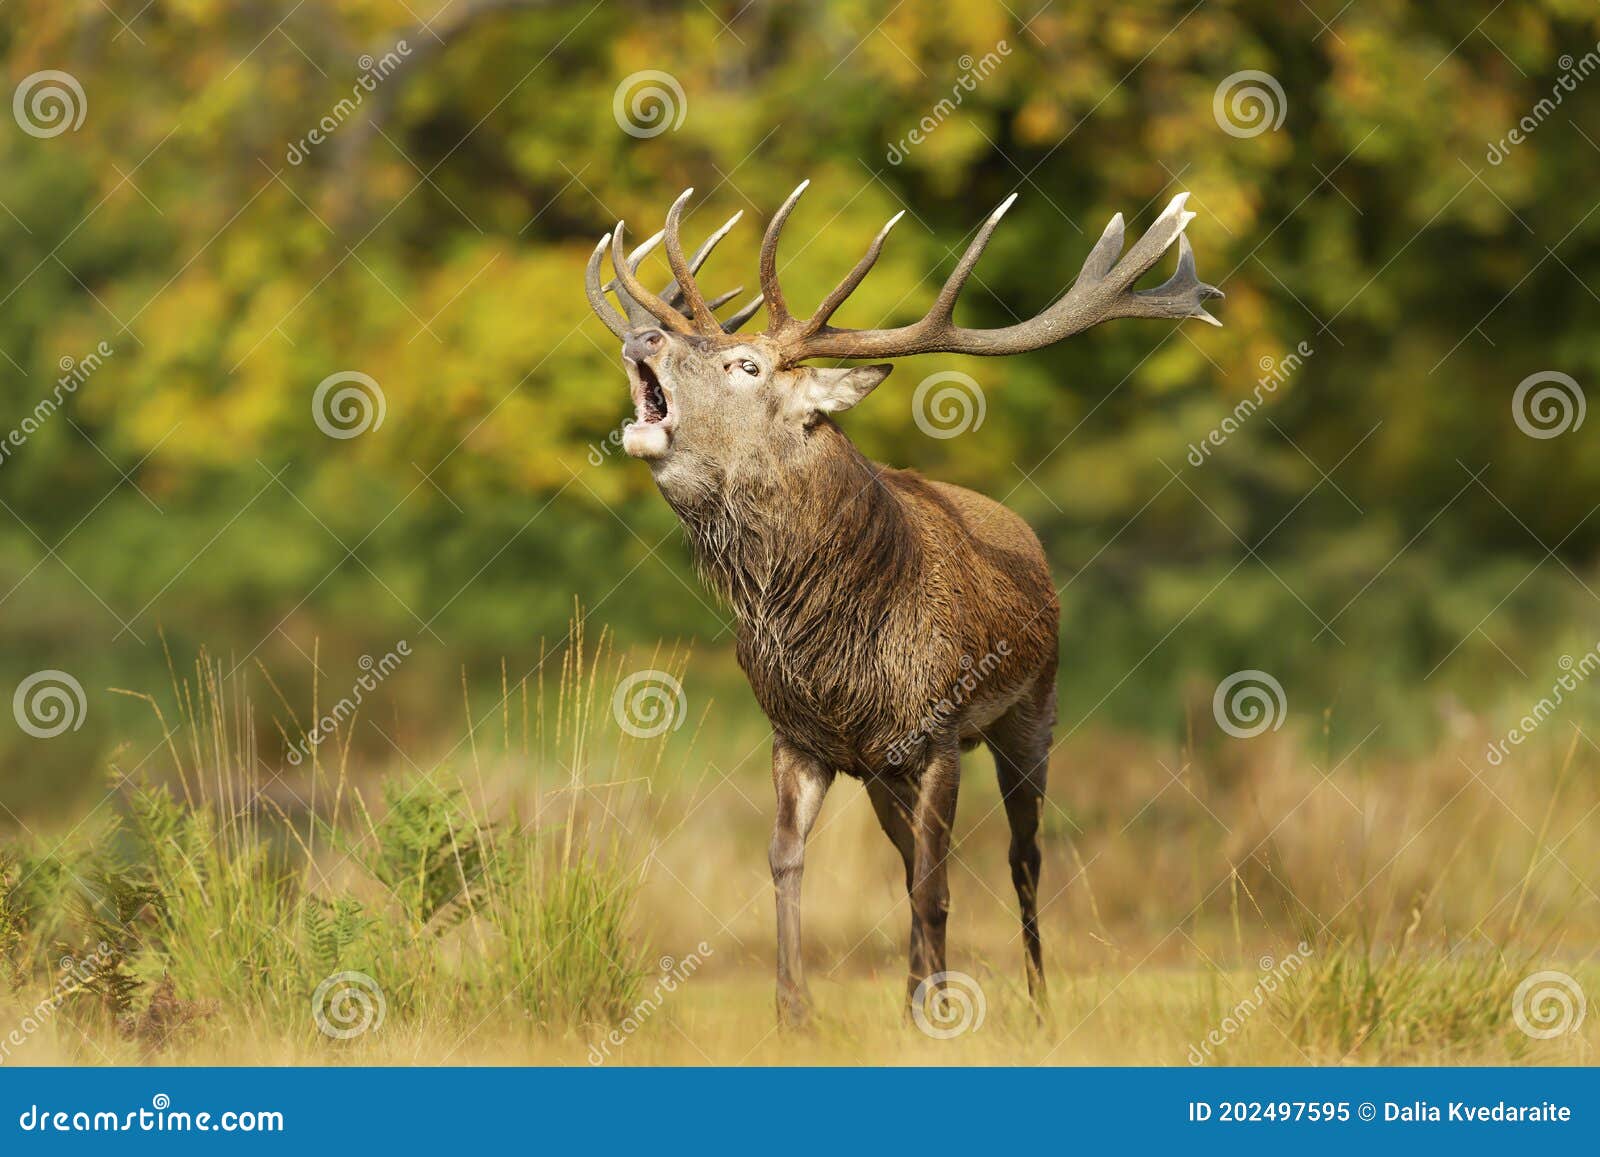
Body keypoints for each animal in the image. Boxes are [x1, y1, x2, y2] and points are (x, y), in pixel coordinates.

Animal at [583, 183, 1222, 1028]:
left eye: (746, 364)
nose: (644, 335)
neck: (833, 648)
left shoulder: (939, 729)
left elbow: (936, 885)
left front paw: (929, 1015)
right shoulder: (798, 736)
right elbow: (788, 859)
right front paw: (796, 1012)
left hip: (1034, 714)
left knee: (1022, 857)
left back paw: (1035, 999)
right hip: (883, 772)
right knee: (915, 854)